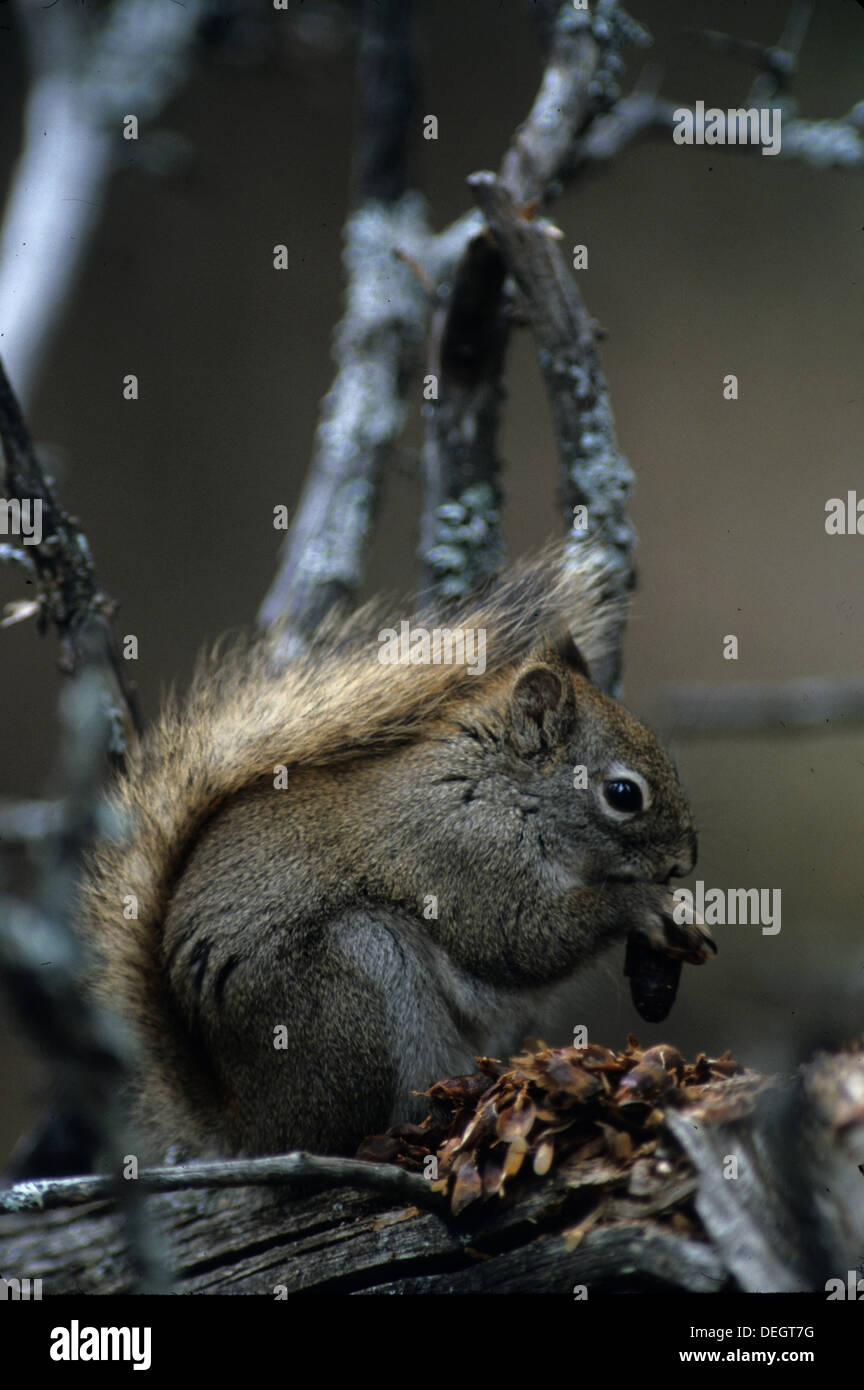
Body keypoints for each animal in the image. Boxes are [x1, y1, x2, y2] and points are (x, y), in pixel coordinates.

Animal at [78, 541, 714, 1163]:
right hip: (352, 984)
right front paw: (644, 905)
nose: (683, 862)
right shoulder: (460, 856)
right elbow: (517, 939)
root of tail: (248, 1130)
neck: (499, 789)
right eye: (624, 794)